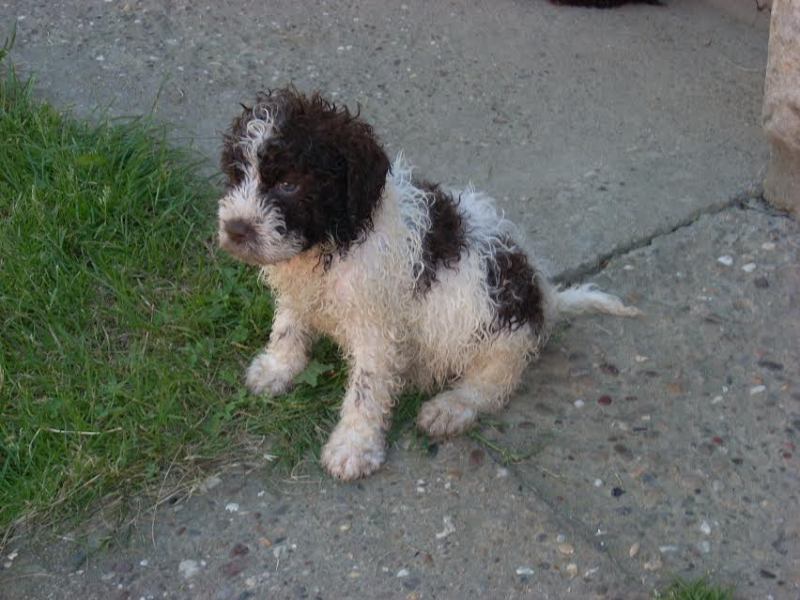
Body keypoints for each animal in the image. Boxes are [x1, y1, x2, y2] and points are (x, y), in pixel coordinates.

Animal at [216, 89, 640, 480]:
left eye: (289, 184)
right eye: (238, 175)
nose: (236, 229)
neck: (336, 239)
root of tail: (544, 295)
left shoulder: (377, 326)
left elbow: (366, 388)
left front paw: (354, 445)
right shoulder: (299, 291)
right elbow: (288, 326)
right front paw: (277, 368)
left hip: (502, 335)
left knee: (492, 384)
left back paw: (451, 407)